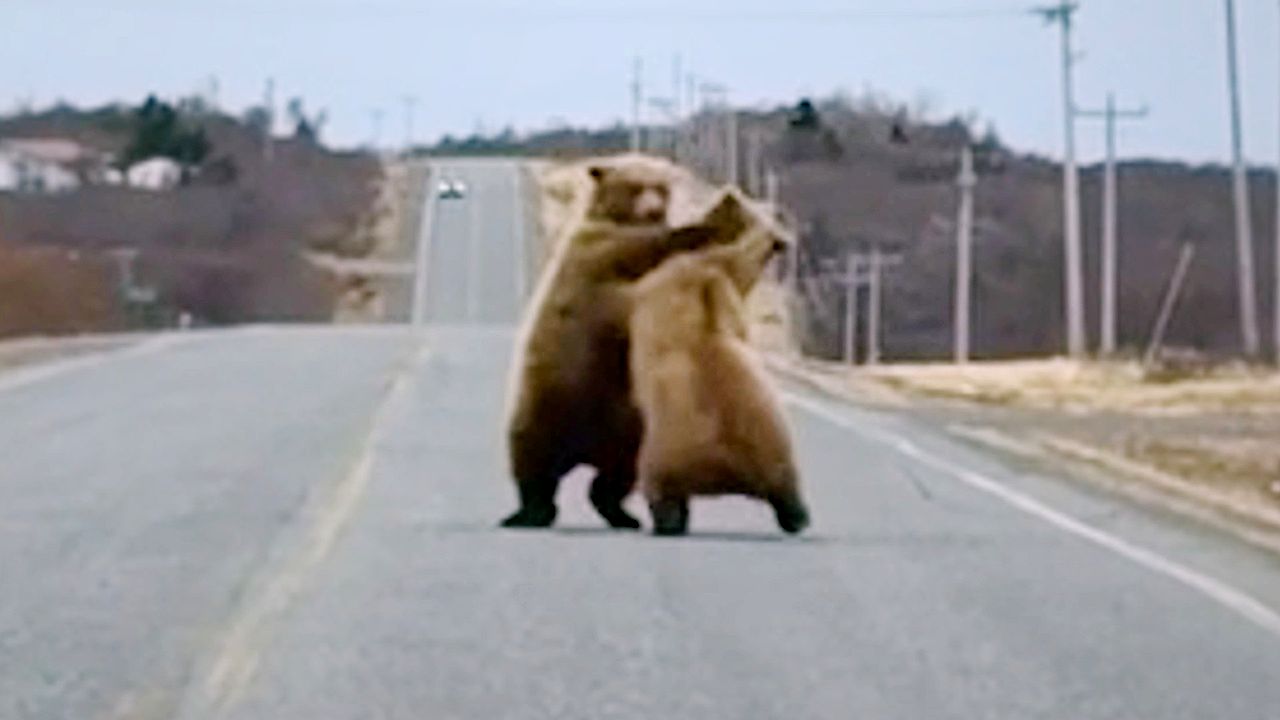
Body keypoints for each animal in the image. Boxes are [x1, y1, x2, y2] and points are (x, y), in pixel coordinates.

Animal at [502, 163, 761, 530]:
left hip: (626, 431)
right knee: (532, 457)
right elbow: (634, 267)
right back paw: (529, 511)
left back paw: (622, 514)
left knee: (616, 477)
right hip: (549, 402)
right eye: (636, 186)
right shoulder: (597, 259)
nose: (653, 209)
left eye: (660, 188)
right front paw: (707, 224)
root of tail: (584, 451)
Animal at [626, 222, 808, 536]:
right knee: (787, 488)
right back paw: (797, 517)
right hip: (775, 446)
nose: (782, 239)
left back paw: (665, 520)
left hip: (666, 452)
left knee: (659, 487)